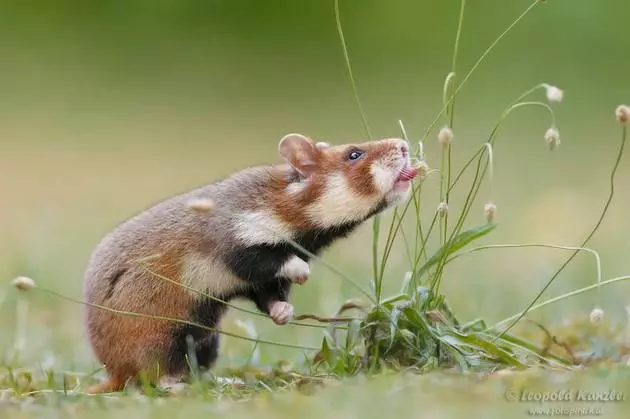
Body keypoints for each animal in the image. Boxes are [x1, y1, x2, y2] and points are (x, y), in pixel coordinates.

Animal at [84, 134, 420, 394]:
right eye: (354, 153)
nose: (404, 145)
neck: (282, 206)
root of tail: (114, 371)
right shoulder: (237, 241)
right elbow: (269, 261)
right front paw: (303, 272)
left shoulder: (263, 281)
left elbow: (271, 296)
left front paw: (285, 313)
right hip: (163, 340)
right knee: (155, 378)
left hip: (207, 341)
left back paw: (225, 380)